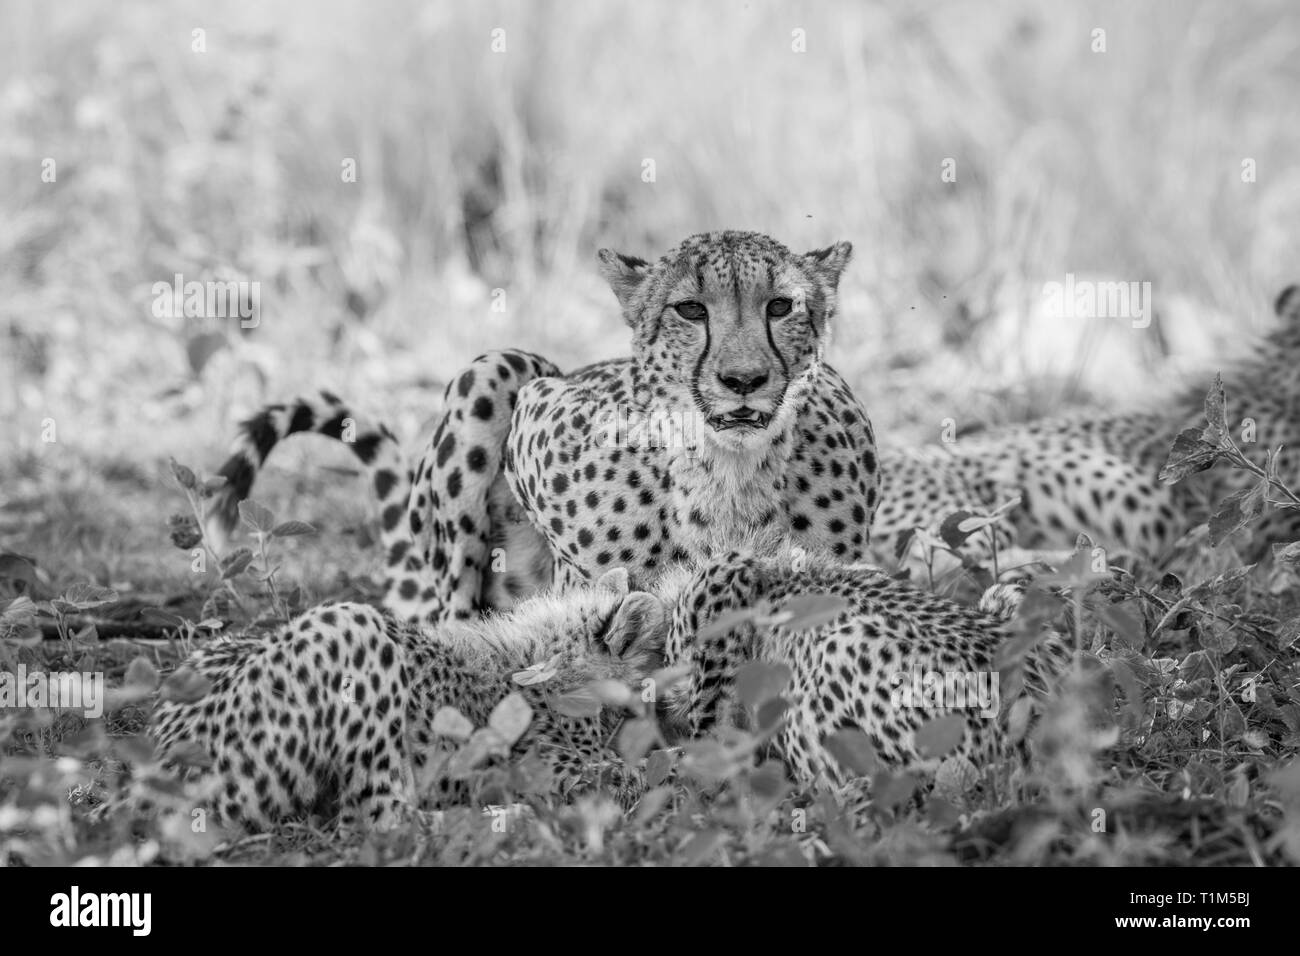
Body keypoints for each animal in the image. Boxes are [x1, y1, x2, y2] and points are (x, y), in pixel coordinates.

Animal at [206, 230, 883, 625]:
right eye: (691, 309)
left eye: (781, 306)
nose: (743, 380)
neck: (730, 468)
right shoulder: (539, 407)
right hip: (491, 371)